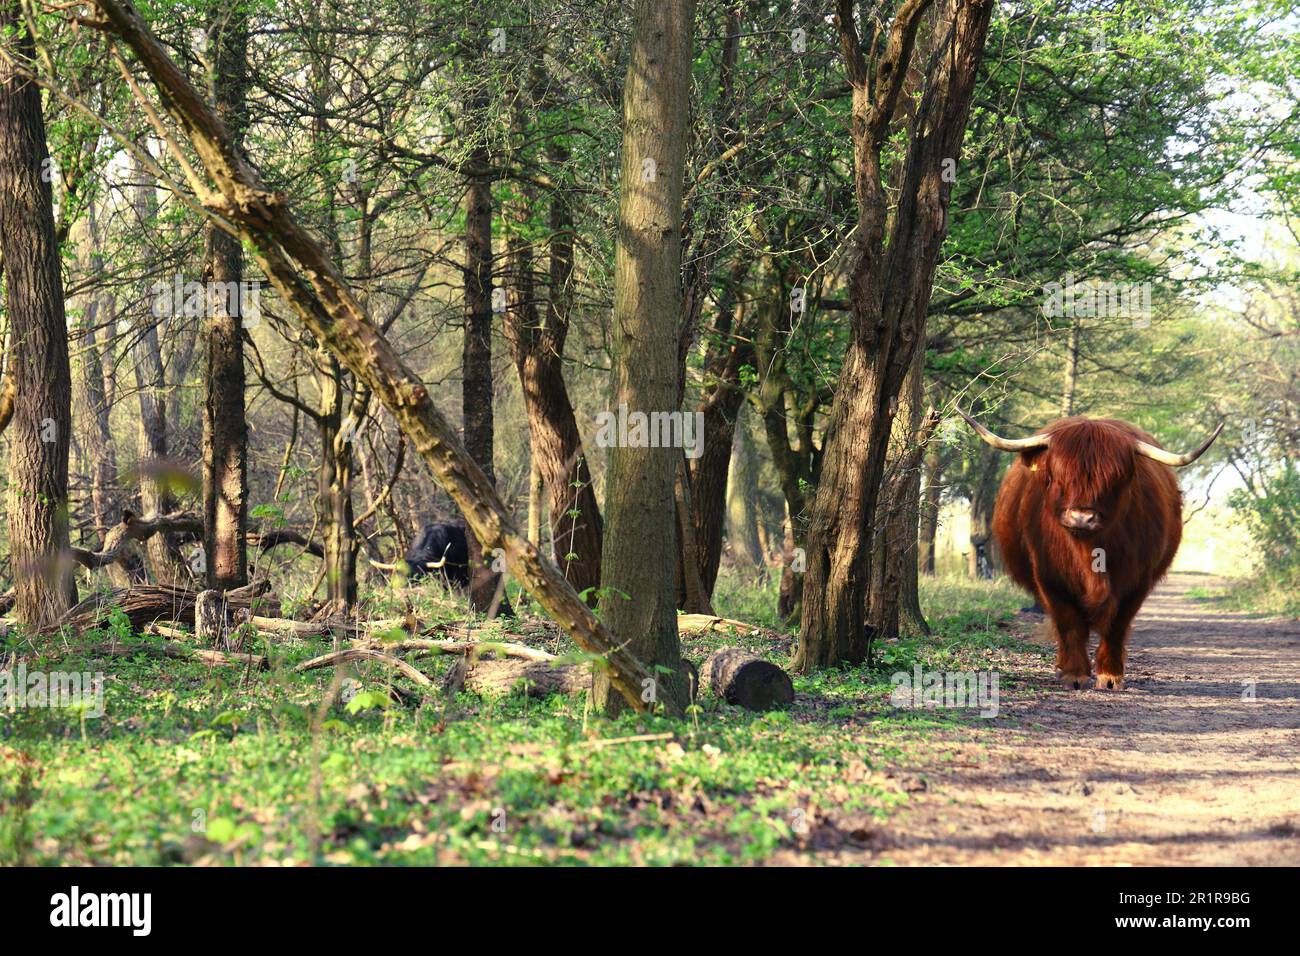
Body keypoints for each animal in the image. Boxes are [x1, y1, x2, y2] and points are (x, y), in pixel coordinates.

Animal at [958, 411, 1222, 691]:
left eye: (1114, 479)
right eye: (1057, 475)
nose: (1081, 518)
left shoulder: (1138, 580)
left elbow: (1117, 625)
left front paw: (1110, 676)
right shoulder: (1050, 576)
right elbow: (1069, 623)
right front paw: (1073, 674)